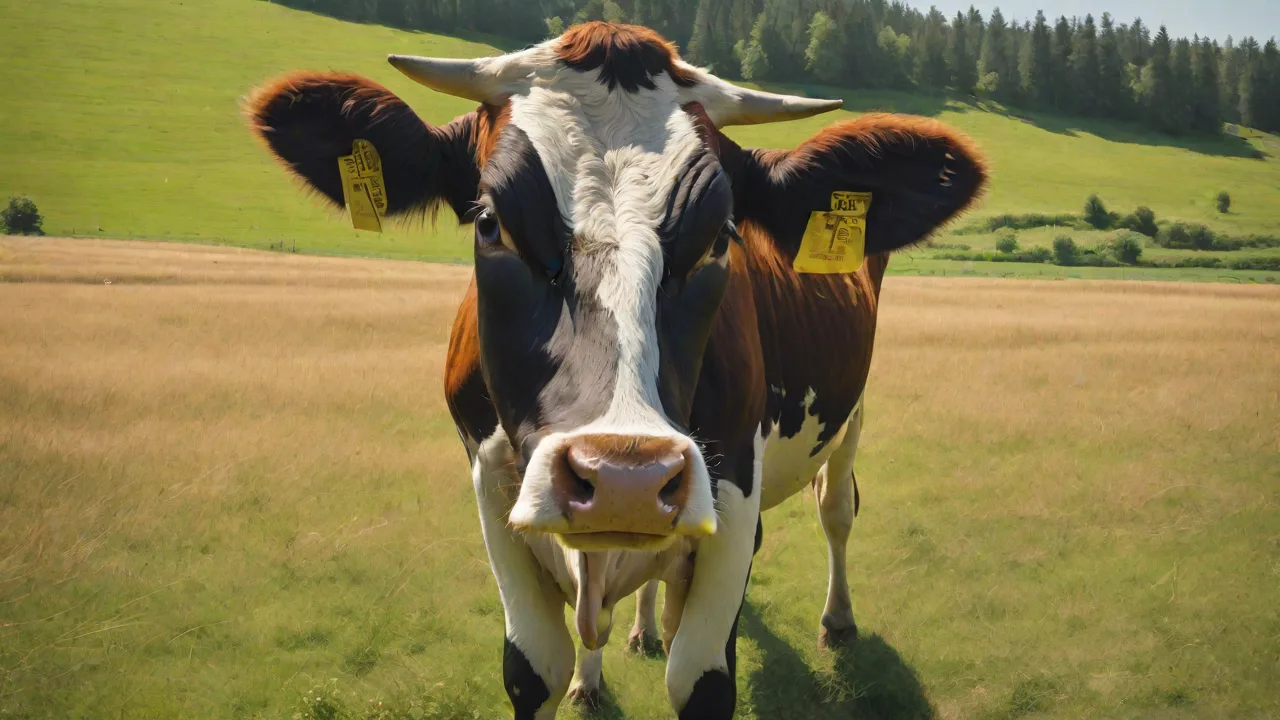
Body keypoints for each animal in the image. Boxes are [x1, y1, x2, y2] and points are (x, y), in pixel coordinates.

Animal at [247, 21, 986, 720]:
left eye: (722, 235)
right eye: (489, 222)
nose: (625, 478)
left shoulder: (733, 486)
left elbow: (702, 677)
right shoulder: (491, 480)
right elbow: (535, 667)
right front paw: (585, 675)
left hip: (848, 415)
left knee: (836, 508)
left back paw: (836, 619)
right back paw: (632, 637)